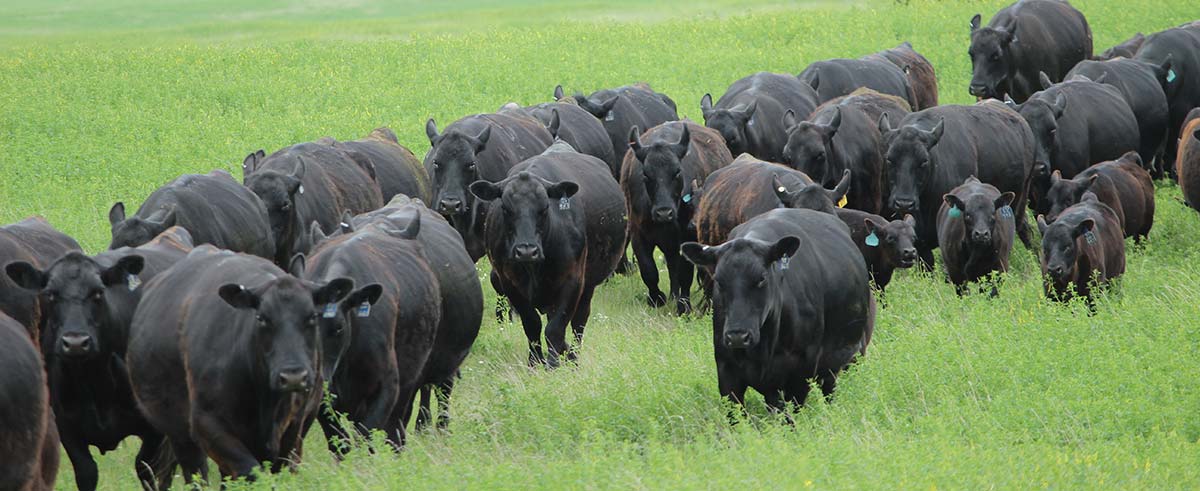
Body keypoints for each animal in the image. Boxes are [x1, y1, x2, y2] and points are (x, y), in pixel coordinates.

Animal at [126, 247, 355, 486]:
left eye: (312, 317)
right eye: (261, 318)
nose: (293, 376)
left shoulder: (294, 425)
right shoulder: (206, 422)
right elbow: (250, 471)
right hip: (179, 433)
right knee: (196, 474)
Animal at [470, 149, 626, 368]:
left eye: (544, 208)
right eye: (506, 209)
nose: (526, 251)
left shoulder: (573, 280)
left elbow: (555, 328)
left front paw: (554, 364)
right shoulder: (509, 283)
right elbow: (532, 325)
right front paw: (534, 362)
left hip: (587, 286)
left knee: (579, 322)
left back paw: (573, 357)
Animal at [621, 121, 733, 314]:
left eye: (677, 172)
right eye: (646, 174)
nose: (664, 212)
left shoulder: (685, 238)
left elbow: (685, 274)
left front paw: (684, 306)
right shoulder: (638, 235)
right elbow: (648, 270)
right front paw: (656, 298)